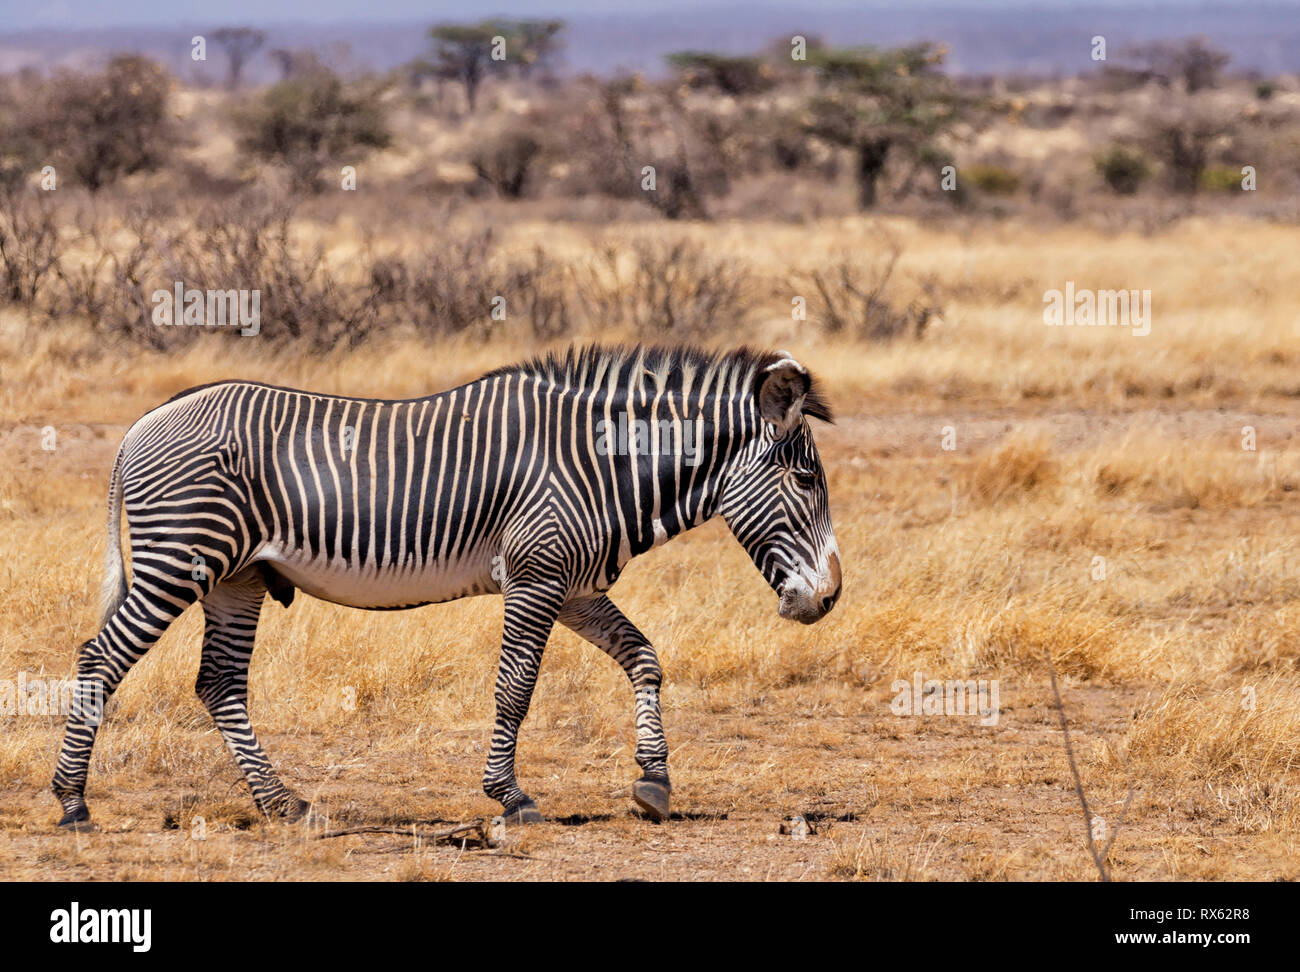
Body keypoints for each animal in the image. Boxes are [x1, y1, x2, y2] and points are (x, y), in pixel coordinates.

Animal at [53, 344, 842, 829]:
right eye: (806, 479)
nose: (829, 599)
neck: (599, 463)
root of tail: (145, 420)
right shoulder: (537, 575)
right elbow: (515, 687)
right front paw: (510, 795)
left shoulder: (575, 585)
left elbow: (645, 657)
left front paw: (653, 781)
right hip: (177, 559)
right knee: (100, 659)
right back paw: (72, 802)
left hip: (236, 578)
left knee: (218, 684)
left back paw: (286, 805)